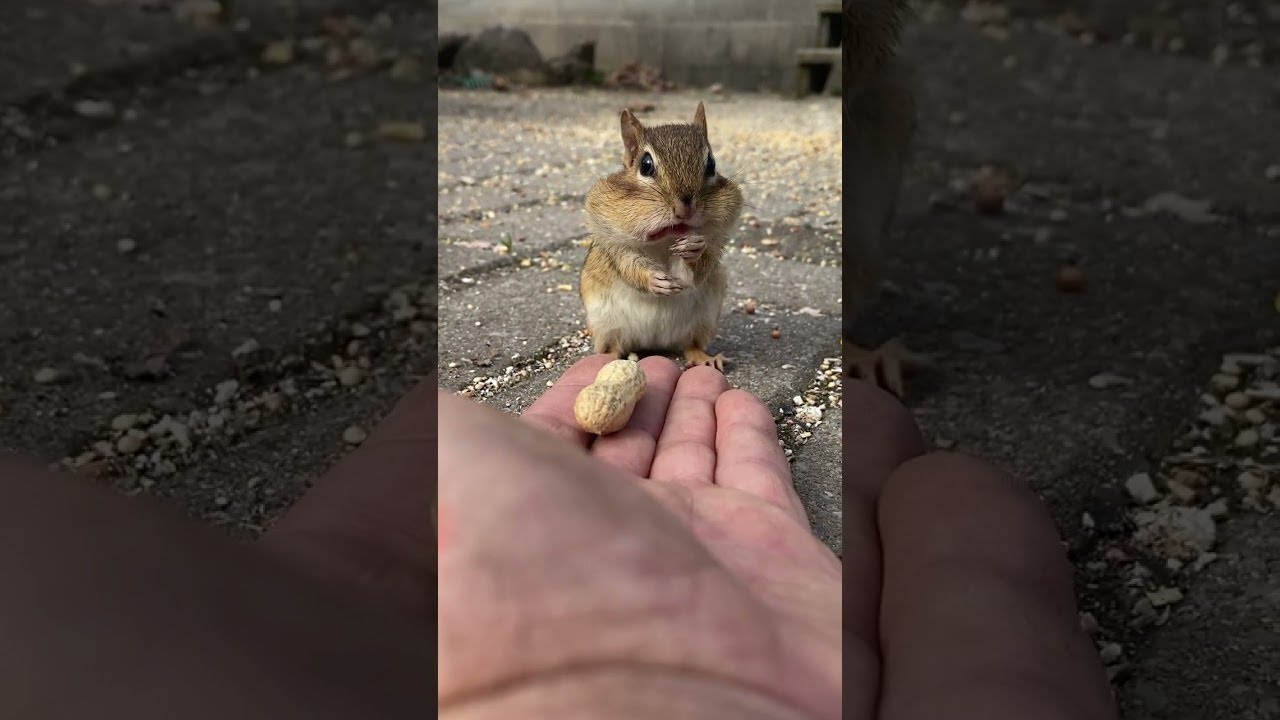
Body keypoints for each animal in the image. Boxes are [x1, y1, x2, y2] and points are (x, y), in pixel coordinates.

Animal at [579, 102, 744, 371]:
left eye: (711, 164)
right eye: (646, 165)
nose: (684, 208)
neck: (664, 240)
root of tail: (654, 342)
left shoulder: (716, 240)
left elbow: (698, 270)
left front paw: (693, 249)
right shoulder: (613, 241)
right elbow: (629, 266)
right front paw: (655, 280)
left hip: (703, 320)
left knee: (691, 345)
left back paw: (706, 359)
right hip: (606, 323)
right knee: (614, 346)